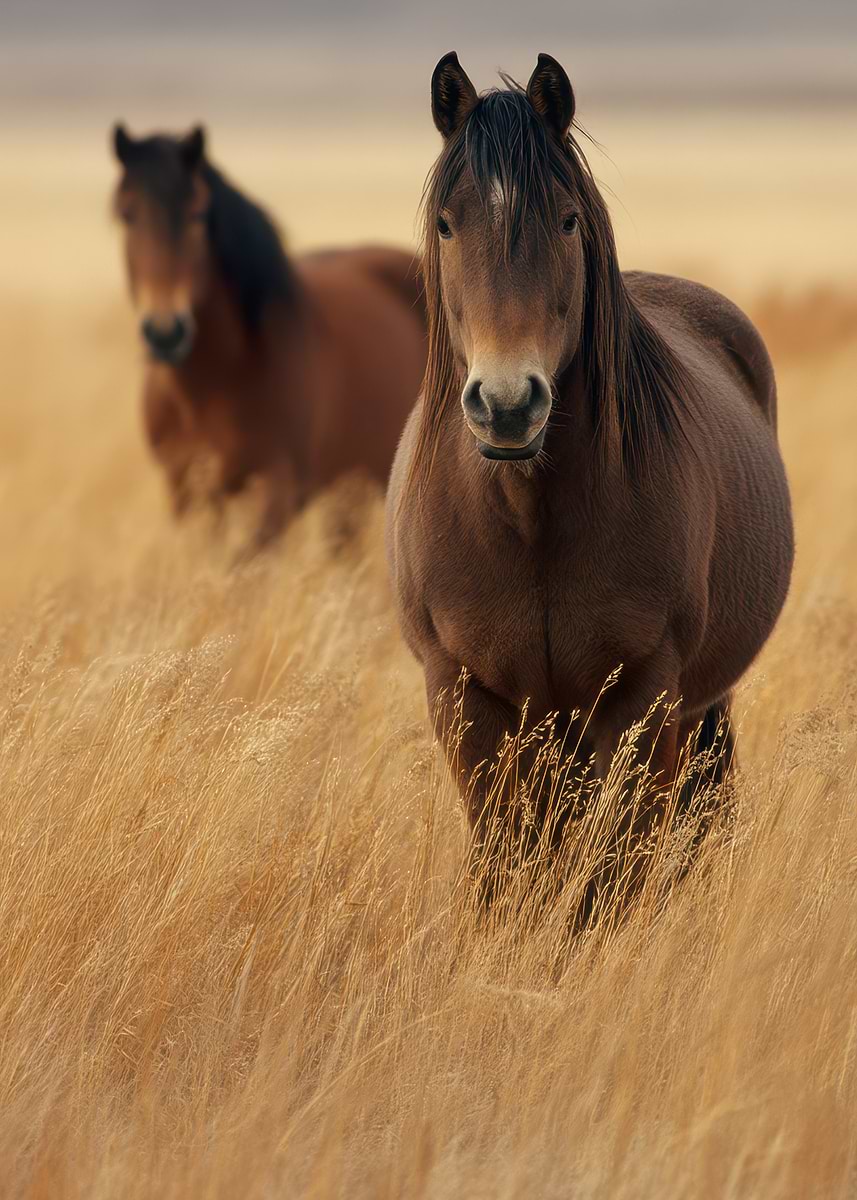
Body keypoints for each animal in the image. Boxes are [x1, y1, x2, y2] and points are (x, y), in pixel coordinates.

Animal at [112, 124, 426, 553]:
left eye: (197, 215)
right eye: (126, 215)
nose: (165, 332)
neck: (212, 384)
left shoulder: (276, 490)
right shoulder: (188, 493)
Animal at [386, 52, 794, 915]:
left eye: (568, 220)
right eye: (447, 224)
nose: (508, 404)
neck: (528, 519)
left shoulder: (642, 702)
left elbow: (611, 876)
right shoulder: (465, 698)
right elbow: (510, 865)